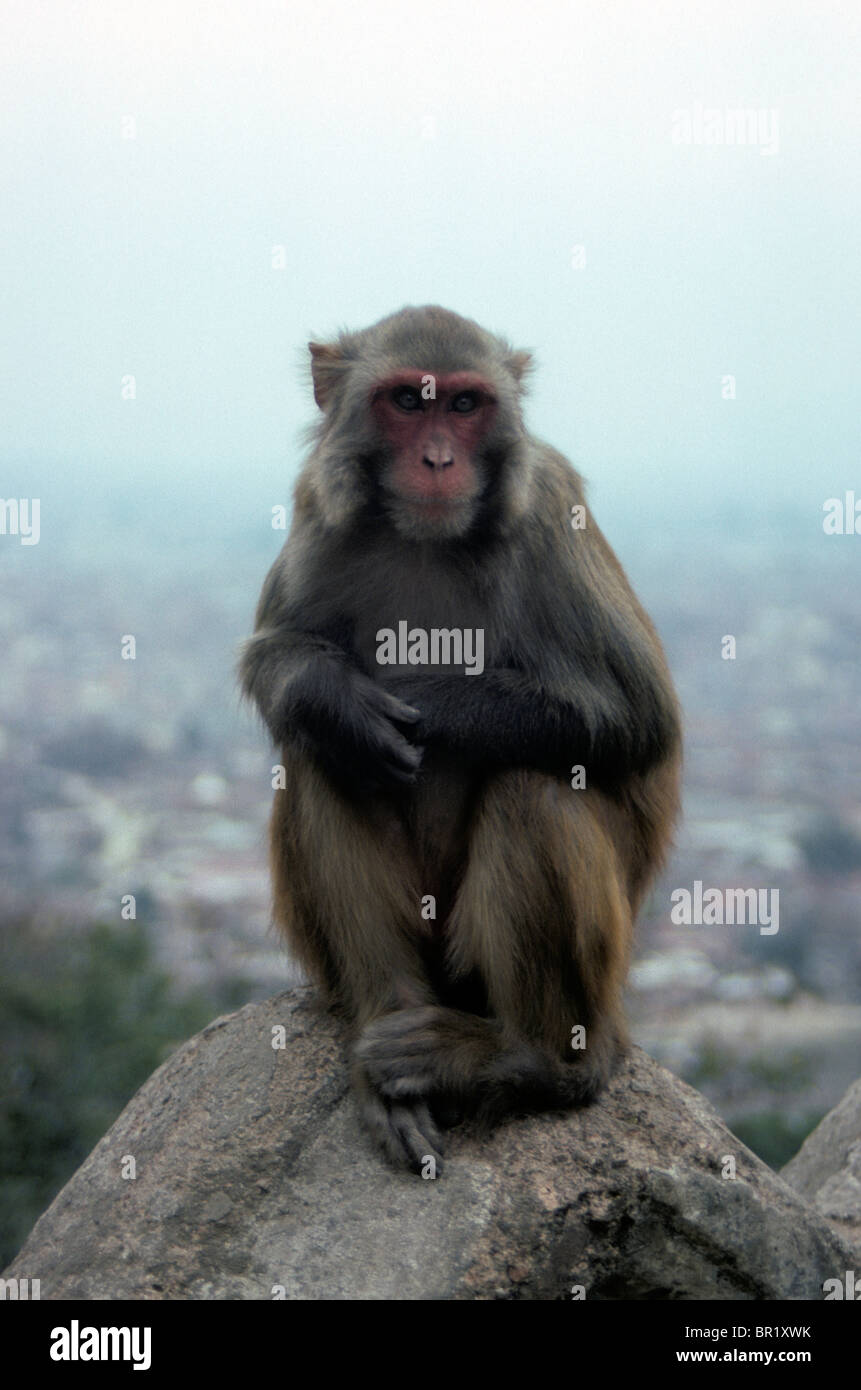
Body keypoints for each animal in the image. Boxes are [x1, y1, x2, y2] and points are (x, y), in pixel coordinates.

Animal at [241, 305, 681, 1173]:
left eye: (466, 404)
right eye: (409, 402)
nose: (439, 459)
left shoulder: (548, 509)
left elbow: (637, 717)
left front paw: (430, 697)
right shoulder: (317, 507)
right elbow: (278, 656)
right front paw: (335, 697)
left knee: (534, 786)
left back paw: (533, 1061)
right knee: (324, 759)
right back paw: (391, 1028)